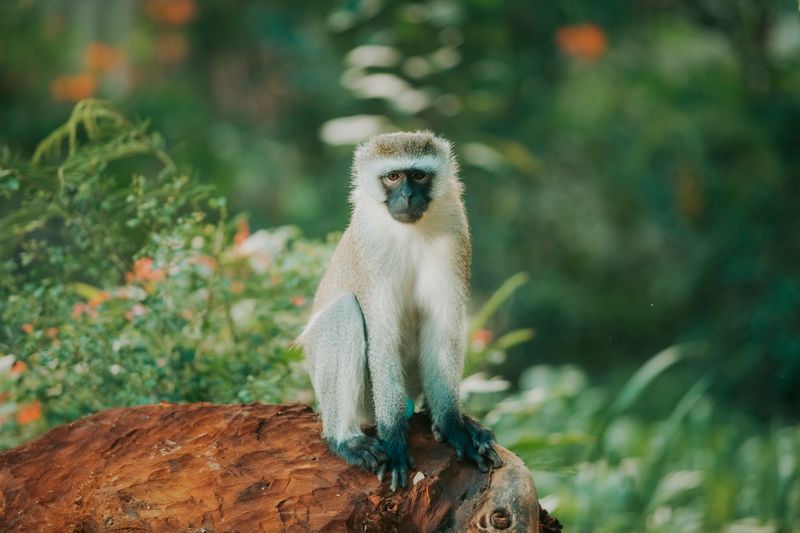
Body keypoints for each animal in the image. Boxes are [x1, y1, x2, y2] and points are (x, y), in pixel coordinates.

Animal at [299, 131, 502, 491]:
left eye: (418, 175)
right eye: (393, 177)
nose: (407, 195)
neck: (409, 232)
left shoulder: (455, 232)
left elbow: (443, 331)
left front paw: (453, 425)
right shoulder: (369, 246)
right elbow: (382, 337)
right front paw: (394, 442)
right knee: (345, 312)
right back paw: (344, 439)